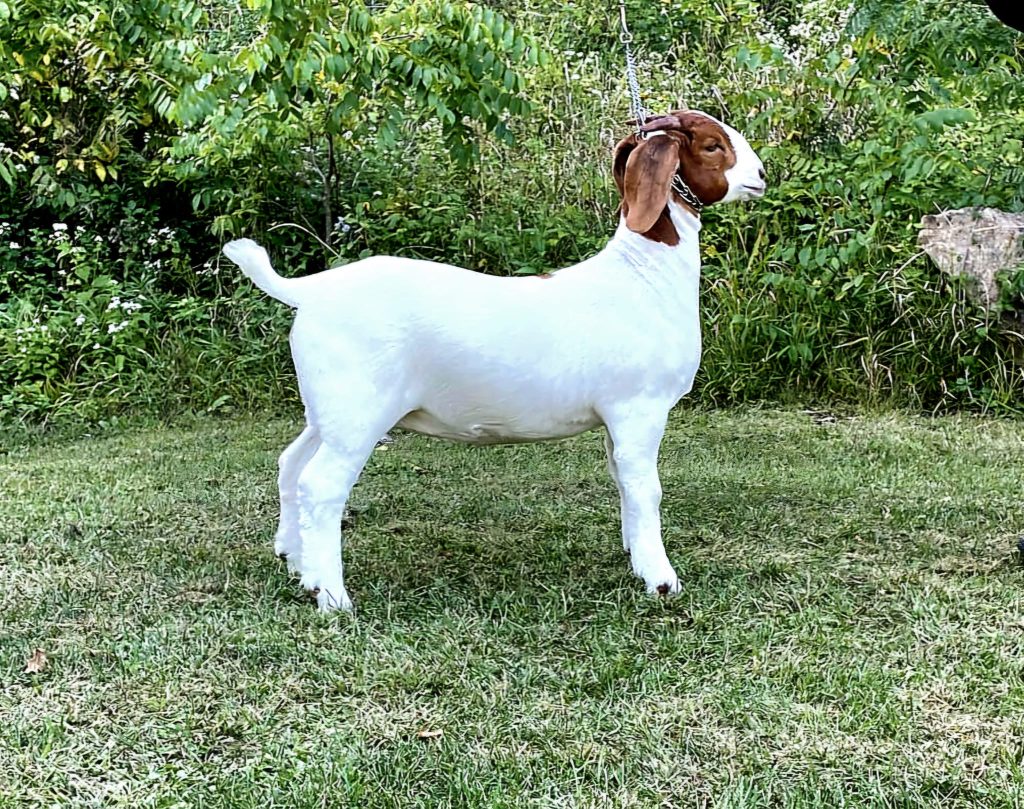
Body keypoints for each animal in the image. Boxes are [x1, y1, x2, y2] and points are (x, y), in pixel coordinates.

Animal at [223, 110, 766, 611]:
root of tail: (311, 292)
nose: (761, 174)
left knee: (292, 464)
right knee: (321, 484)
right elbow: (646, 488)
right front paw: (661, 580)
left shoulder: (617, 419)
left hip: (329, 408)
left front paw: (635, 556)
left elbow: (623, 483)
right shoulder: (640, 408)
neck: (643, 275)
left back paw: (300, 566)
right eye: (714, 146)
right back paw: (334, 597)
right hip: (358, 410)